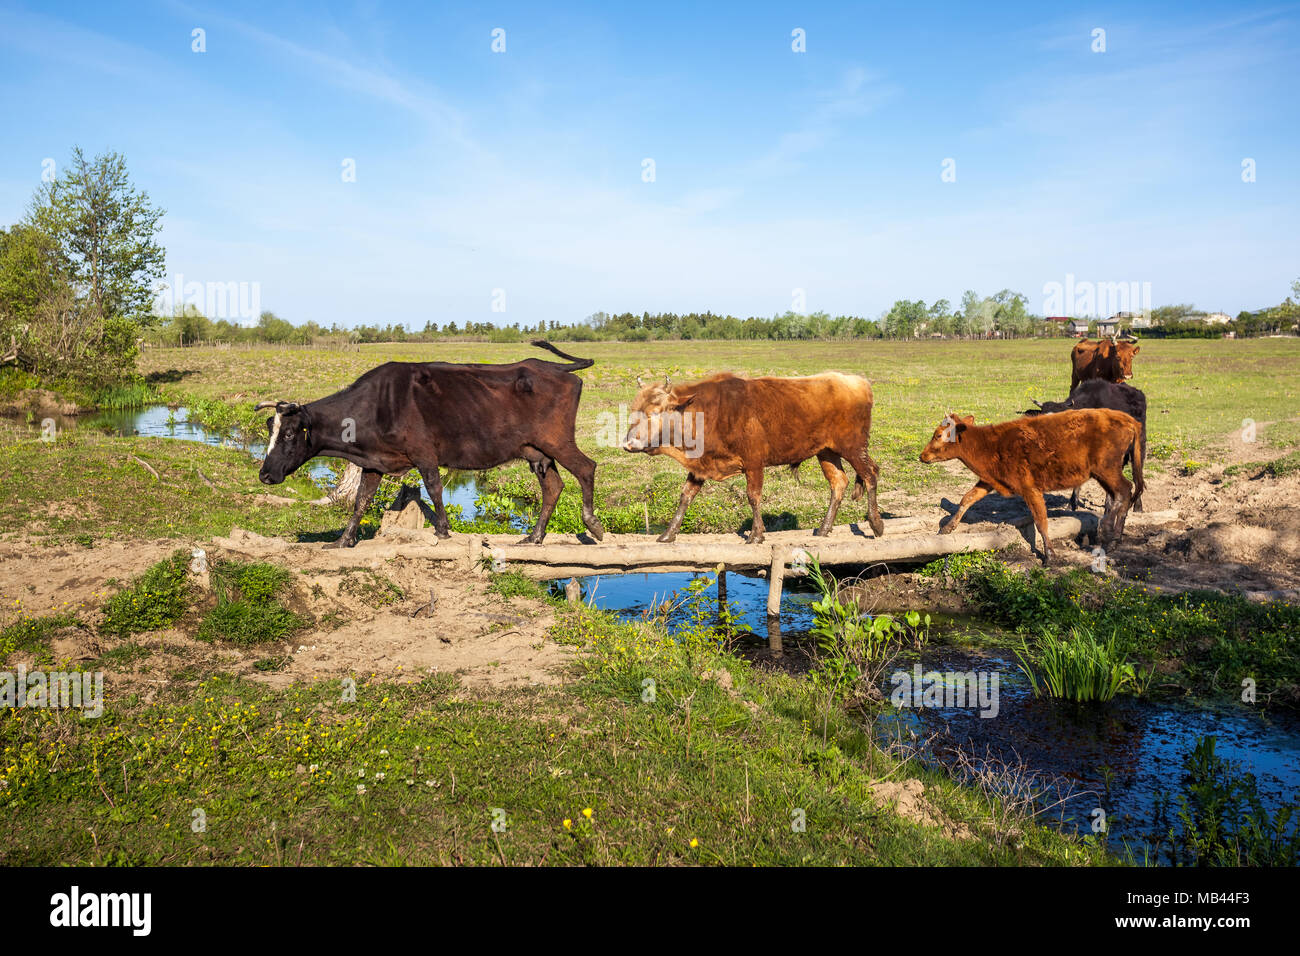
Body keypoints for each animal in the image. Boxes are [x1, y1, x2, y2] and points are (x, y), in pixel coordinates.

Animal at [255, 341, 605, 548]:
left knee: (586, 468)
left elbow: (435, 488)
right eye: (270, 431)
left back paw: (593, 525)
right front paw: (343, 540)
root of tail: (551, 366)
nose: (265, 475)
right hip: (537, 450)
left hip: (557, 440)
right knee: (554, 487)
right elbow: (361, 501)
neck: (376, 405)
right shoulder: (374, 462)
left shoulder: (424, 453)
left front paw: (443, 529)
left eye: (289, 434)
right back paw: (534, 536)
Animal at [622, 372, 885, 544]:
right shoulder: (700, 466)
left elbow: (753, 496)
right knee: (839, 482)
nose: (628, 443)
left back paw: (876, 523)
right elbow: (686, 496)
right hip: (827, 452)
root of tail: (857, 381)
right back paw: (823, 528)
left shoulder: (754, 463)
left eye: (656, 412)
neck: (710, 412)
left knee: (870, 474)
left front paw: (756, 534)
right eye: (634, 411)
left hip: (853, 447)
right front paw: (668, 533)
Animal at [918, 408, 1144, 564]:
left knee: (1123, 492)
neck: (990, 444)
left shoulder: (1030, 488)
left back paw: (1107, 533)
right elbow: (968, 498)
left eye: (938, 435)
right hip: (1103, 473)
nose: (922, 456)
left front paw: (1050, 555)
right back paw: (1114, 539)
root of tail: (1128, 419)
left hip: (1106, 469)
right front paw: (947, 528)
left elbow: (1040, 520)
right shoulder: (989, 480)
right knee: (1120, 494)